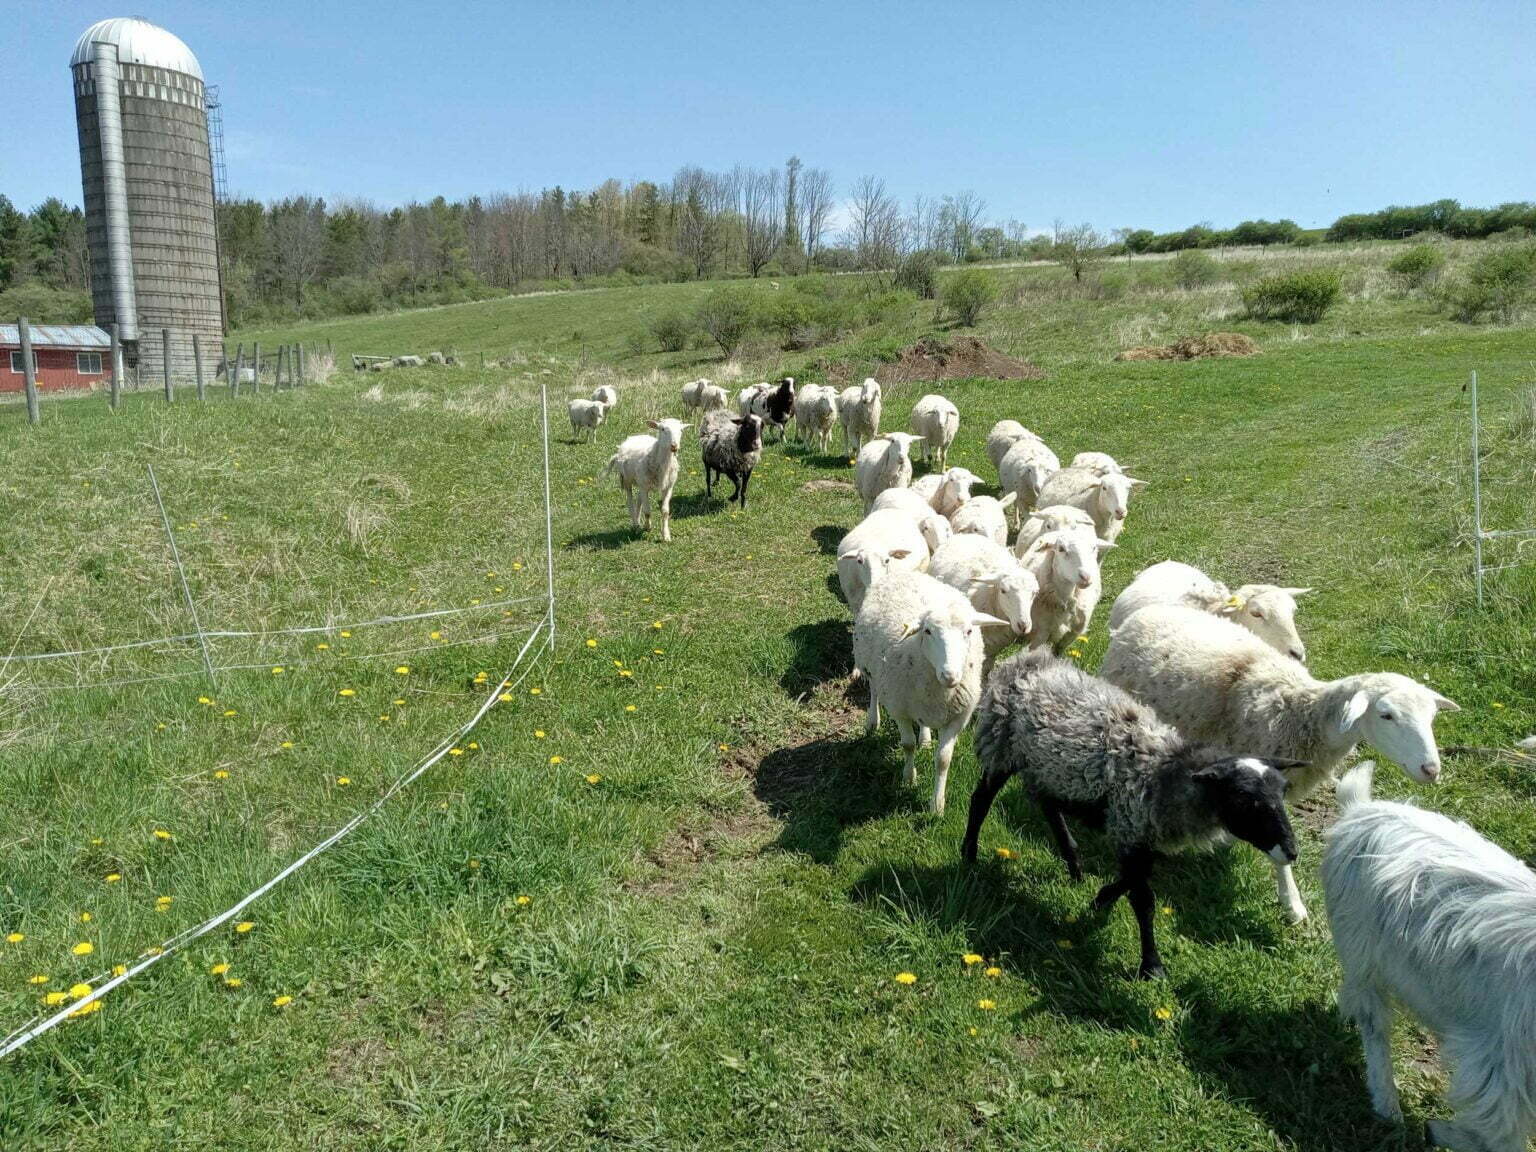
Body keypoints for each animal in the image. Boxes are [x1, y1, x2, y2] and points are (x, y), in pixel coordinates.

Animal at [852, 570, 1008, 814]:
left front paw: (937, 805)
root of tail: (904, 573)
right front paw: (909, 778)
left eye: (969, 631)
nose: (950, 674)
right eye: (927, 631)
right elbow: (907, 745)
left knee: (922, 720)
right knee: (875, 690)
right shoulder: (900, 709)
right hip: (871, 665)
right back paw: (872, 721)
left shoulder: (957, 718)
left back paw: (925, 739)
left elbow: (944, 759)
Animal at [964, 650, 1300, 979]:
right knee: (981, 799)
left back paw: (1074, 865)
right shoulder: (1130, 825)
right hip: (1001, 746)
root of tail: (1026, 661)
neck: (1165, 772)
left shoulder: (1138, 834)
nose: (1292, 852)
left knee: (1048, 805)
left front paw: (1100, 899)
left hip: (1048, 769)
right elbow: (1143, 899)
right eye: (1245, 799)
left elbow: (1129, 879)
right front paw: (1152, 965)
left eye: (1283, 791)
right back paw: (969, 856)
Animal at [1101, 605, 1460, 922]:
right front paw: (1292, 902)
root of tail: (1148, 611)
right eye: (1386, 715)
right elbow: (1278, 847)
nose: (1431, 770)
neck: (1300, 712)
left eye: (1431, 716)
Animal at [1324, 763, 1536, 1152]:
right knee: (1373, 1023)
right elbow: (1501, 1133)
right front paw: (1437, 1131)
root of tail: (1359, 810)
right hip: (1361, 954)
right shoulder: (1502, 1071)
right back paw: (1388, 1106)